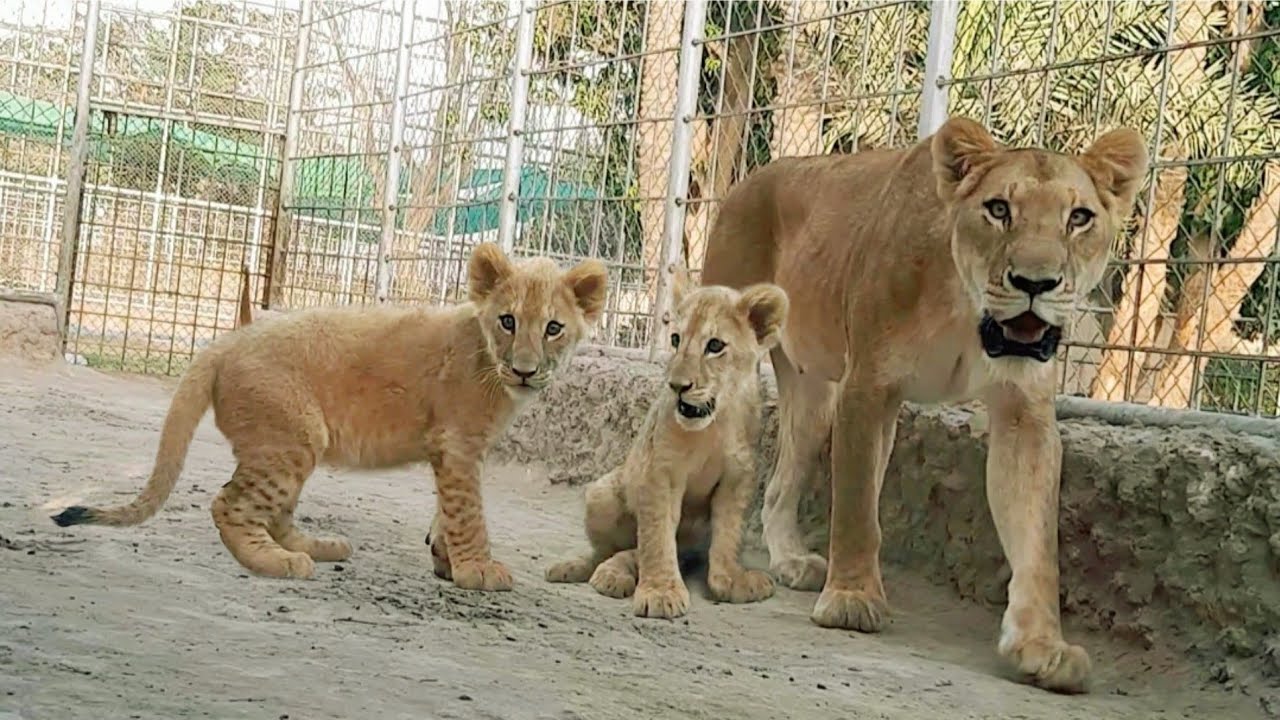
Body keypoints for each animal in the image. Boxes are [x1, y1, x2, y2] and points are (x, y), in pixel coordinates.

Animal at [53, 242, 609, 591]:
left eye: (554, 328)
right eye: (508, 321)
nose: (525, 371)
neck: (489, 362)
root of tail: (226, 342)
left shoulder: (456, 450)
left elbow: (448, 512)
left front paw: (445, 560)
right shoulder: (457, 444)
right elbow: (468, 513)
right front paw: (477, 569)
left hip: (288, 443)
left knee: (271, 510)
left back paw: (316, 545)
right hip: (291, 438)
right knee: (229, 505)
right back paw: (278, 562)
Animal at [544, 278, 788, 619]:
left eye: (715, 346)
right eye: (675, 339)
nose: (676, 386)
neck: (713, 427)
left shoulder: (738, 478)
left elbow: (729, 533)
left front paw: (731, 581)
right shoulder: (660, 472)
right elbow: (657, 537)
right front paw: (661, 592)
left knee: (644, 550)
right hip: (601, 494)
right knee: (610, 550)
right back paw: (593, 570)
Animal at [700, 116, 1148, 692]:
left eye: (1079, 217)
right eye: (999, 209)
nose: (1036, 283)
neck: (968, 309)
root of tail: (748, 180)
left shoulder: (1023, 411)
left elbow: (1036, 540)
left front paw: (1041, 644)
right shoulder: (869, 385)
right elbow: (856, 507)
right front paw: (852, 598)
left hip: (815, 393)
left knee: (781, 483)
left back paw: (792, 560)